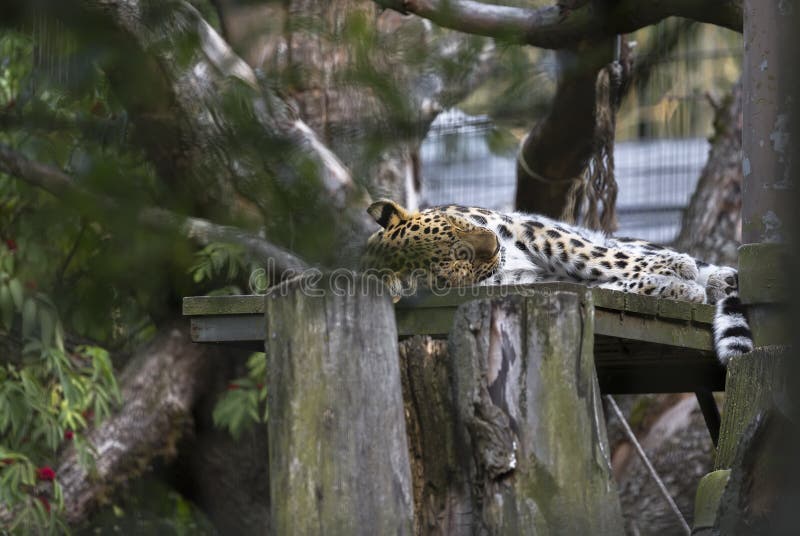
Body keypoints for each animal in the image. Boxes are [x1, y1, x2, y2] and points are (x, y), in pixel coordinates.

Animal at [361, 199, 753, 365]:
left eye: (458, 224)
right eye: (453, 262)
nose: (495, 243)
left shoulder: (531, 229)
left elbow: (599, 258)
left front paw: (676, 268)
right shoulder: (540, 279)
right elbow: (605, 284)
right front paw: (676, 287)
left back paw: (714, 275)